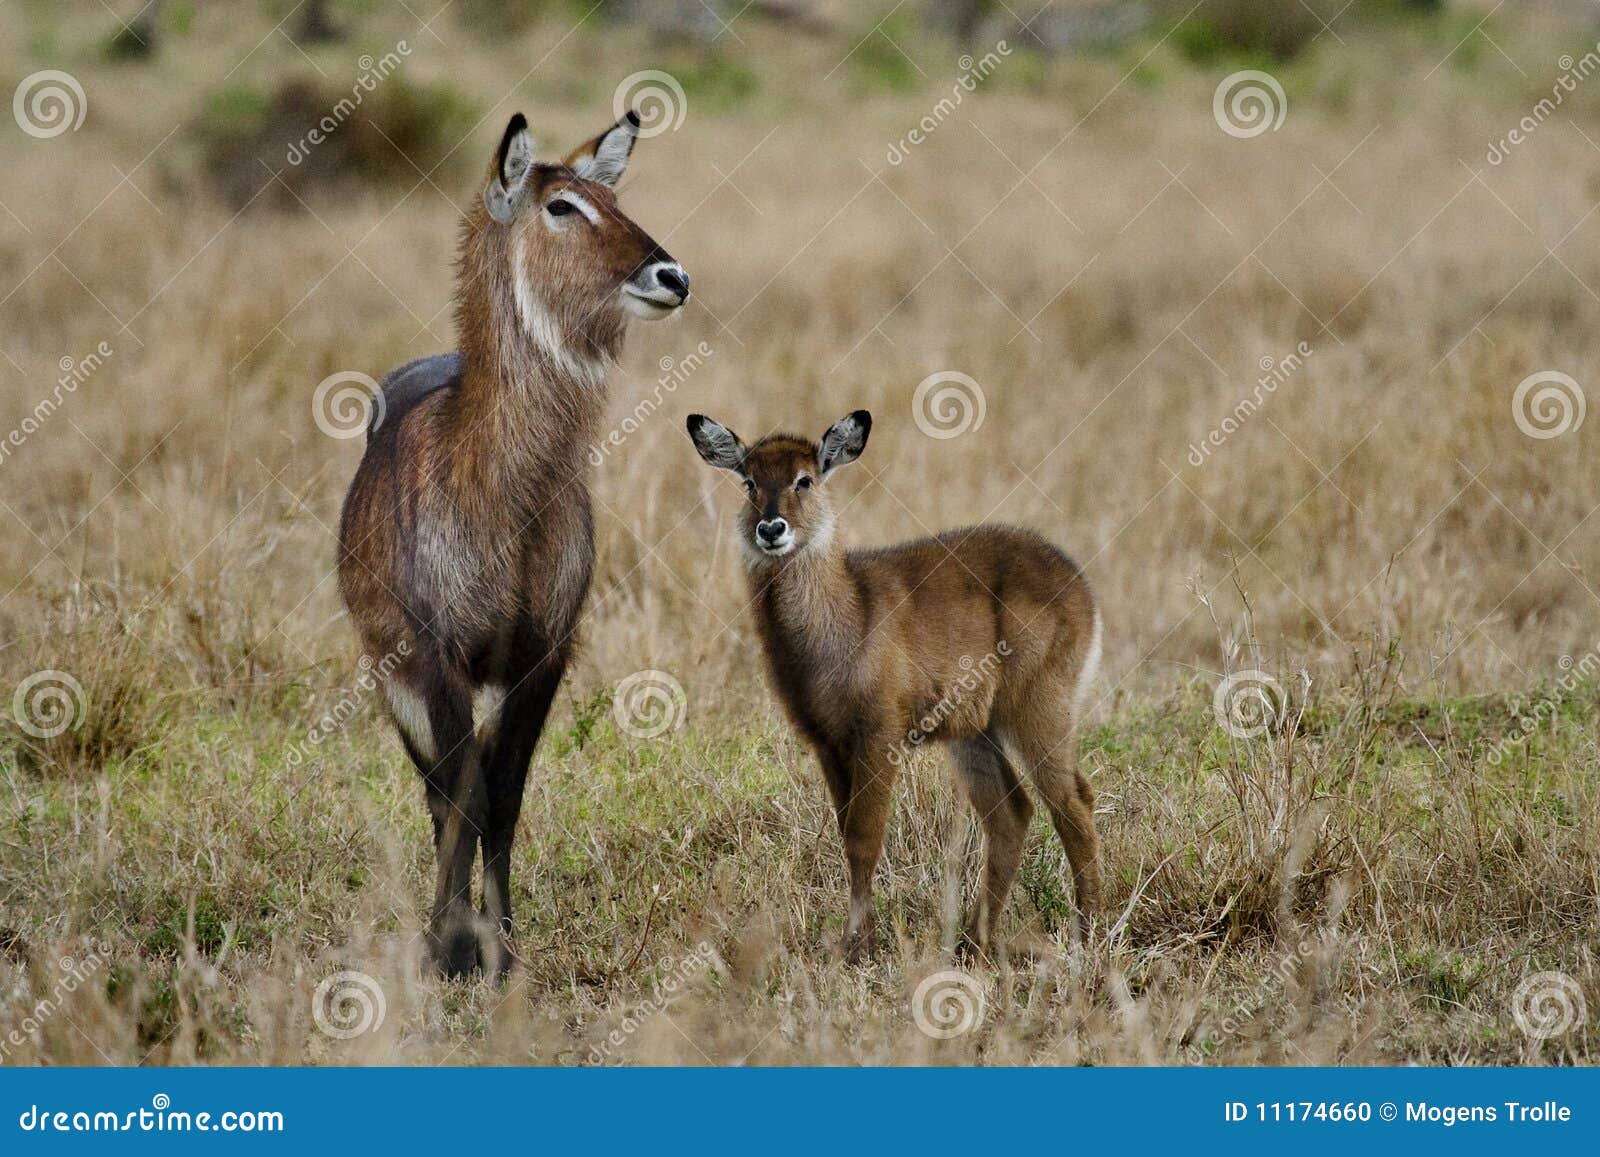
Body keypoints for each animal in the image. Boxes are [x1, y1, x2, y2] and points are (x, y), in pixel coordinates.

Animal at [338, 110, 689, 978]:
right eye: (562, 206)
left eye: (614, 198)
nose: (672, 276)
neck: (512, 501)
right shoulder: (439, 656)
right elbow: (463, 794)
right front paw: (447, 948)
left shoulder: (543, 652)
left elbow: (506, 791)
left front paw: (502, 948)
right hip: (392, 674)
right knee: (437, 787)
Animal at [687, 411, 1102, 958]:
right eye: (749, 481)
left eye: (806, 479)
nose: (771, 528)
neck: (846, 617)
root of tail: (1080, 583)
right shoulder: (826, 741)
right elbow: (847, 834)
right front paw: (857, 938)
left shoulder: (879, 734)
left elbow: (866, 836)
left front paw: (855, 944)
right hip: (974, 731)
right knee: (1011, 810)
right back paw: (975, 941)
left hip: (1039, 708)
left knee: (1074, 803)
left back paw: (1088, 934)